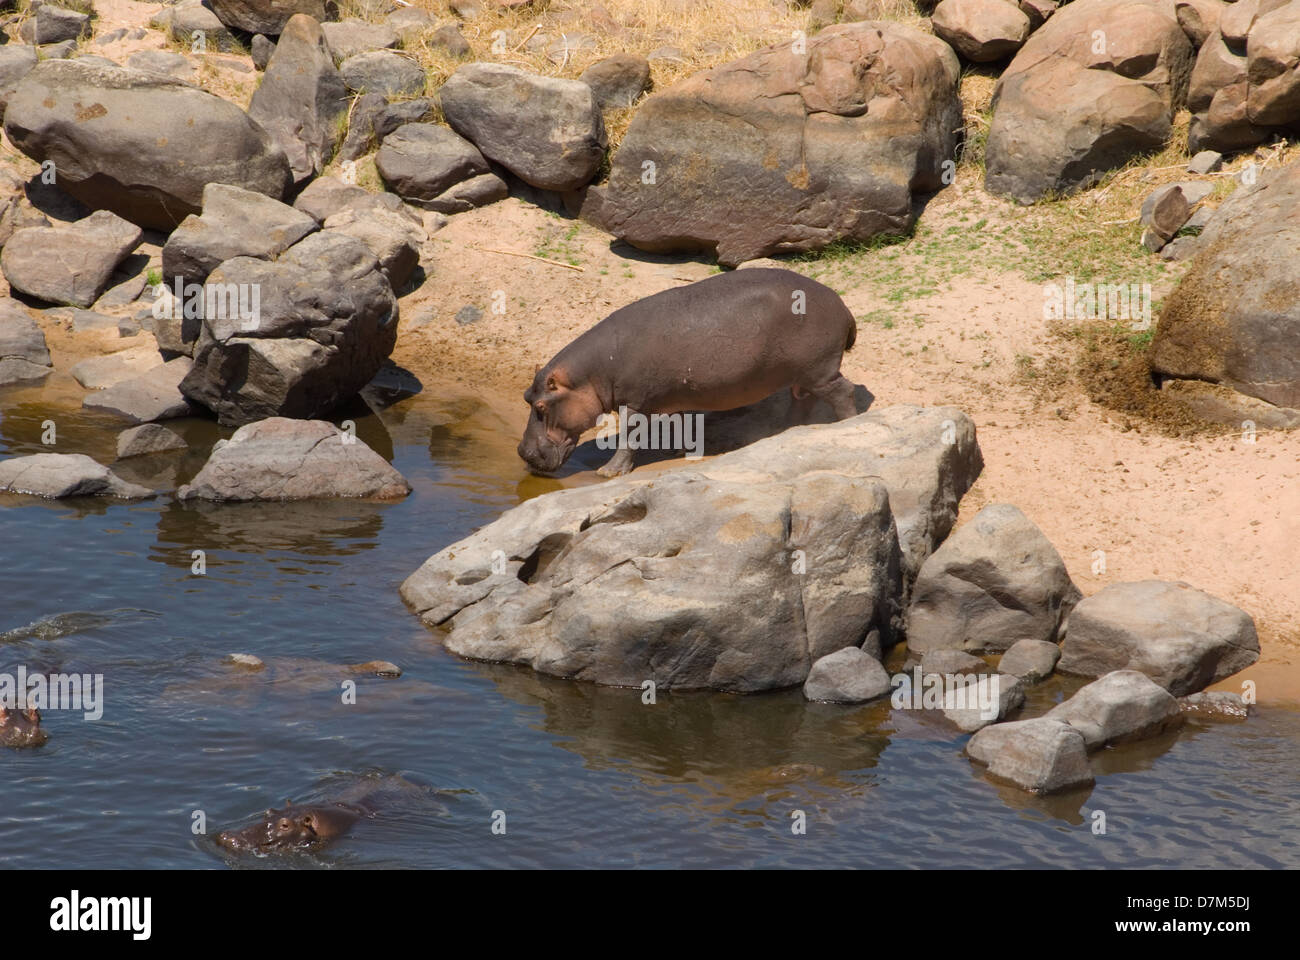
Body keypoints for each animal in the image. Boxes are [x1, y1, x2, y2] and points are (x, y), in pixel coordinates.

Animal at [518, 268, 862, 477]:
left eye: (541, 406)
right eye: (525, 397)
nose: (522, 452)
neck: (589, 375)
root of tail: (843, 305)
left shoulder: (634, 402)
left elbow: (628, 437)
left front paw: (608, 472)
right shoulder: (677, 394)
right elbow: (681, 422)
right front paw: (682, 449)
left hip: (819, 371)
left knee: (843, 392)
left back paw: (847, 424)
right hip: (802, 375)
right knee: (801, 399)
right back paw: (787, 431)